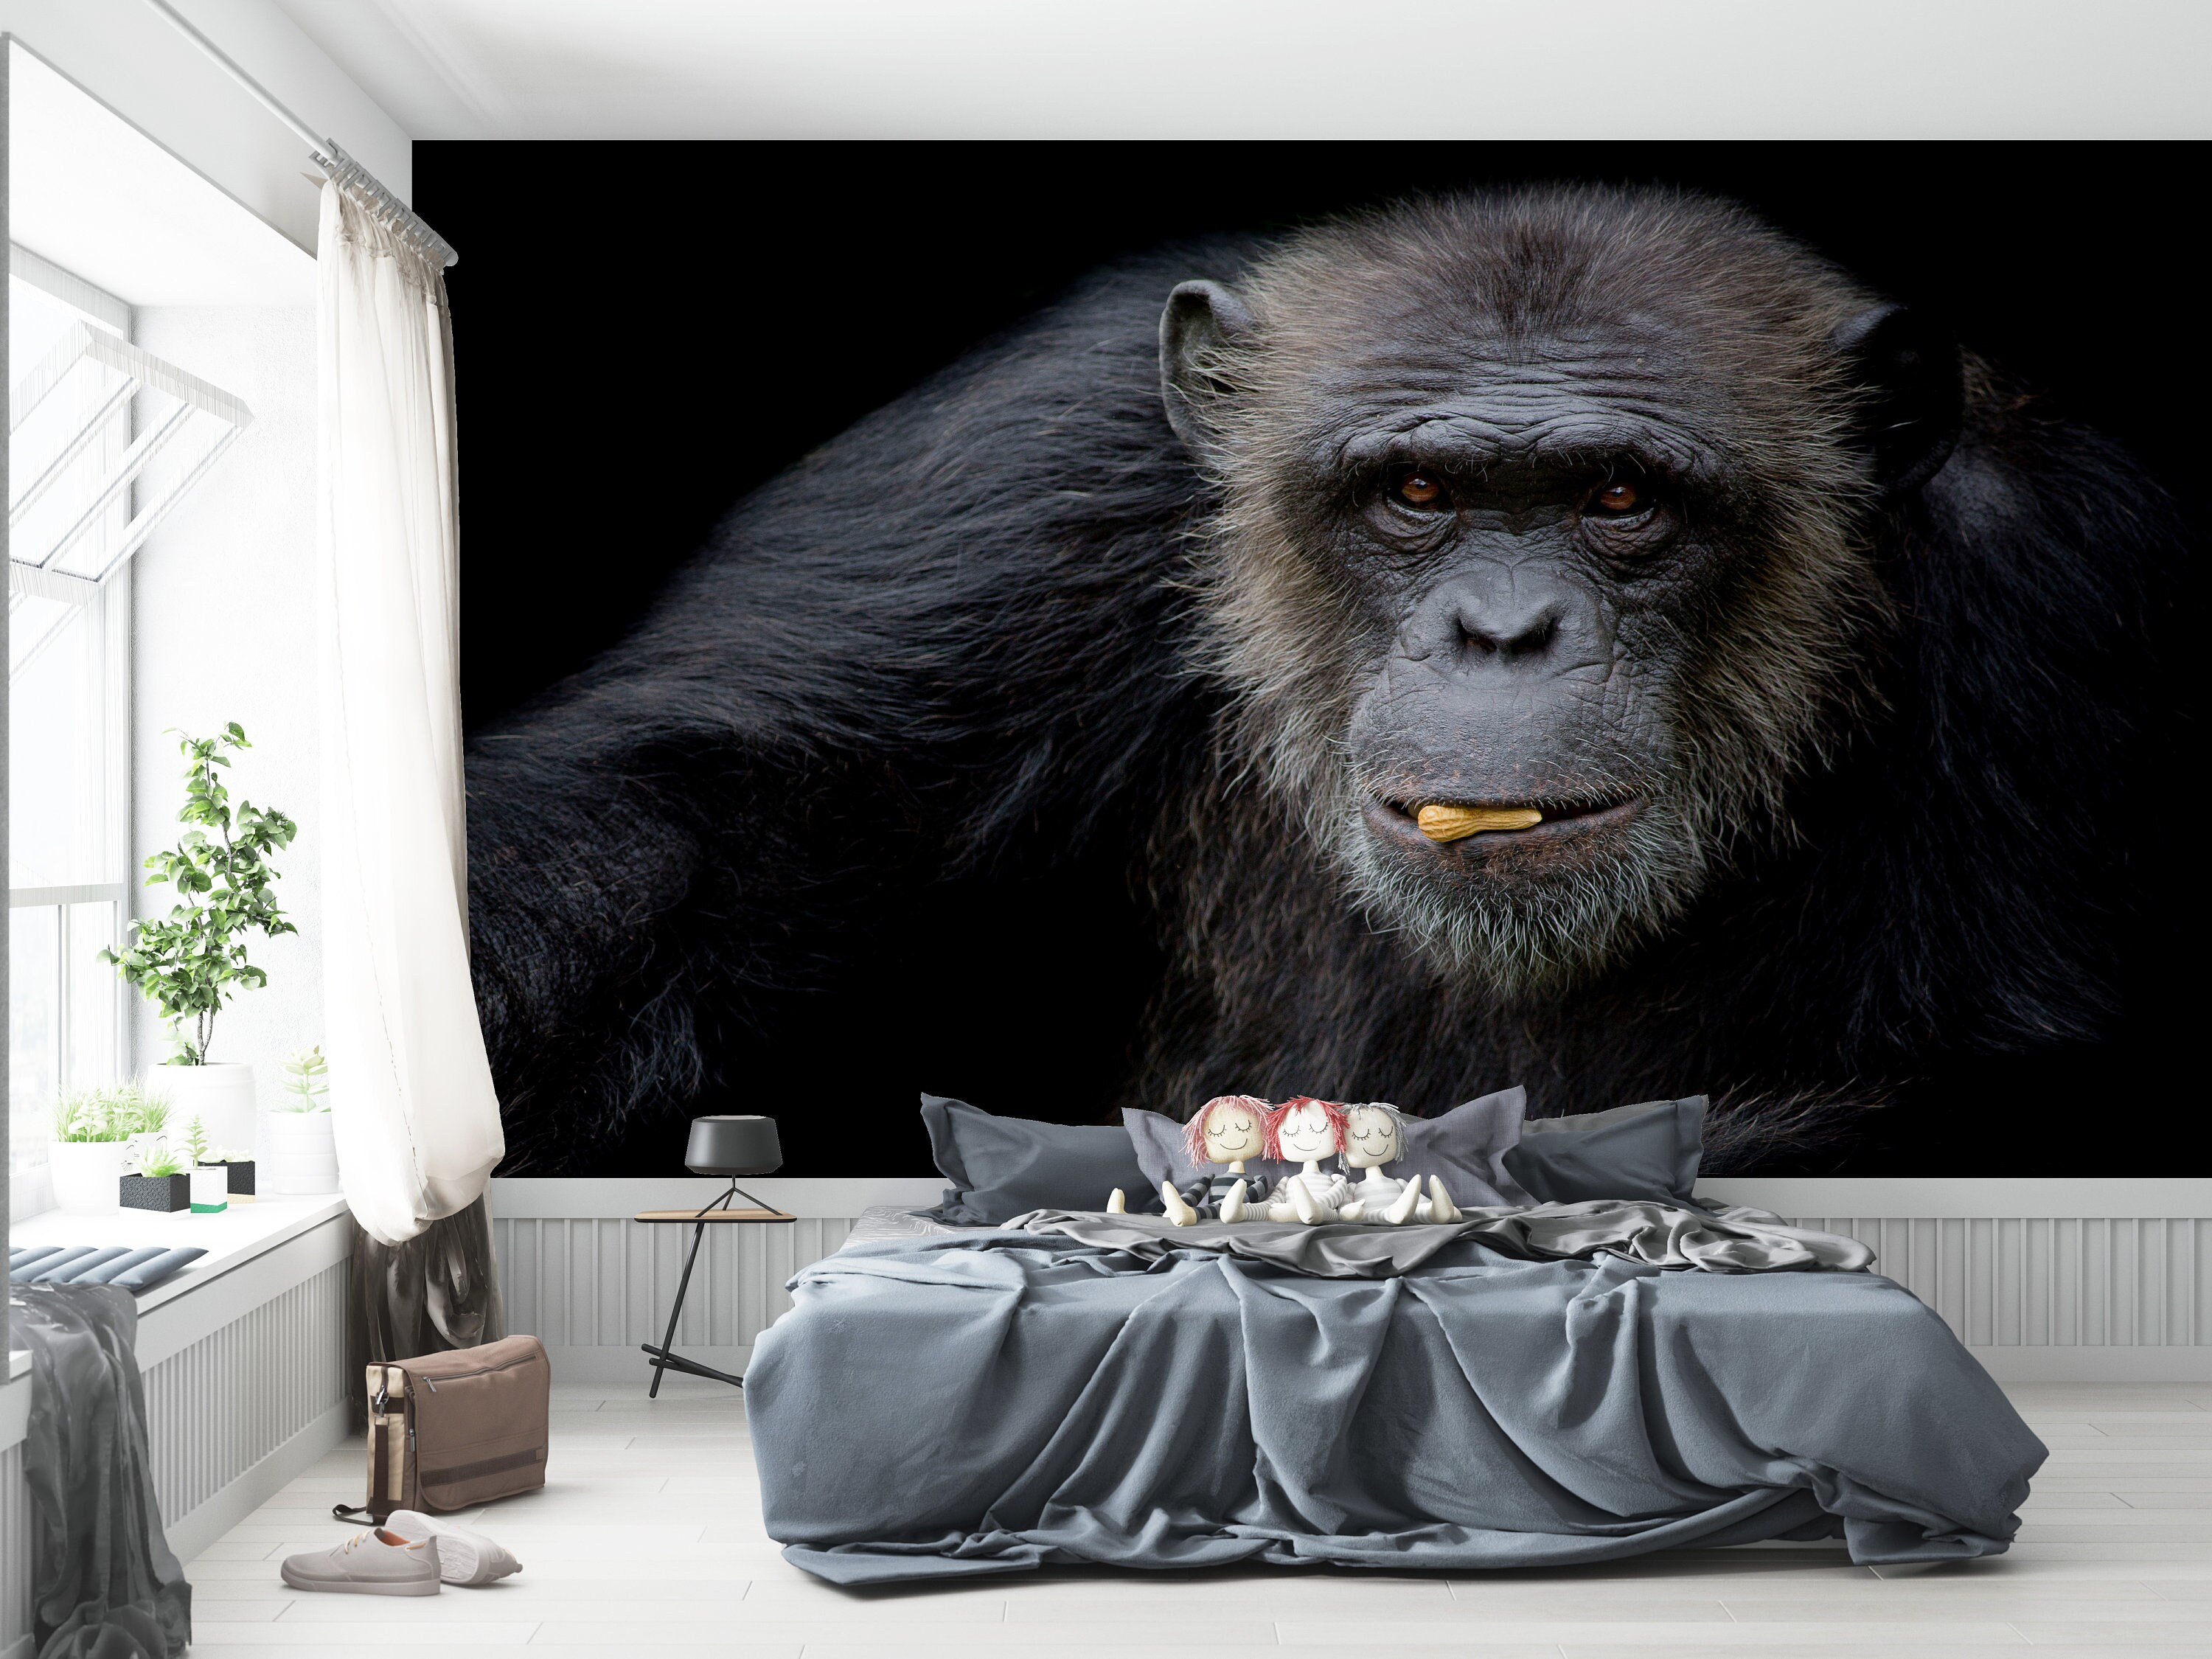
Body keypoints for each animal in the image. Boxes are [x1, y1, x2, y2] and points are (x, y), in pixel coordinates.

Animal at [464, 185, 2171, 1176]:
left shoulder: (2063, 598)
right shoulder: (1043, 455)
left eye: (1623, 498)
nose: (1502, 628)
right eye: (1415, 494)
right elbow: (693, 824)